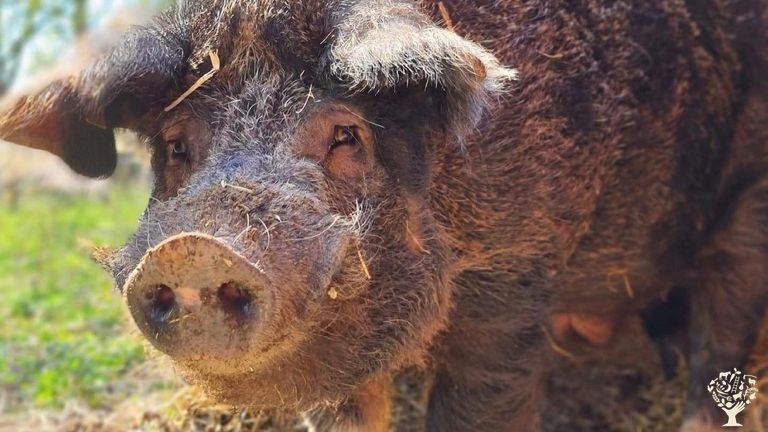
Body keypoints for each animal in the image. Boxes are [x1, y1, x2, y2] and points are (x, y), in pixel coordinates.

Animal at [1, 0, 767, 430]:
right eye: (177, 146)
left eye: (345, 135)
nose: (193, 247)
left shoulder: (514, 271)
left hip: (749, 199)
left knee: (721, 338)